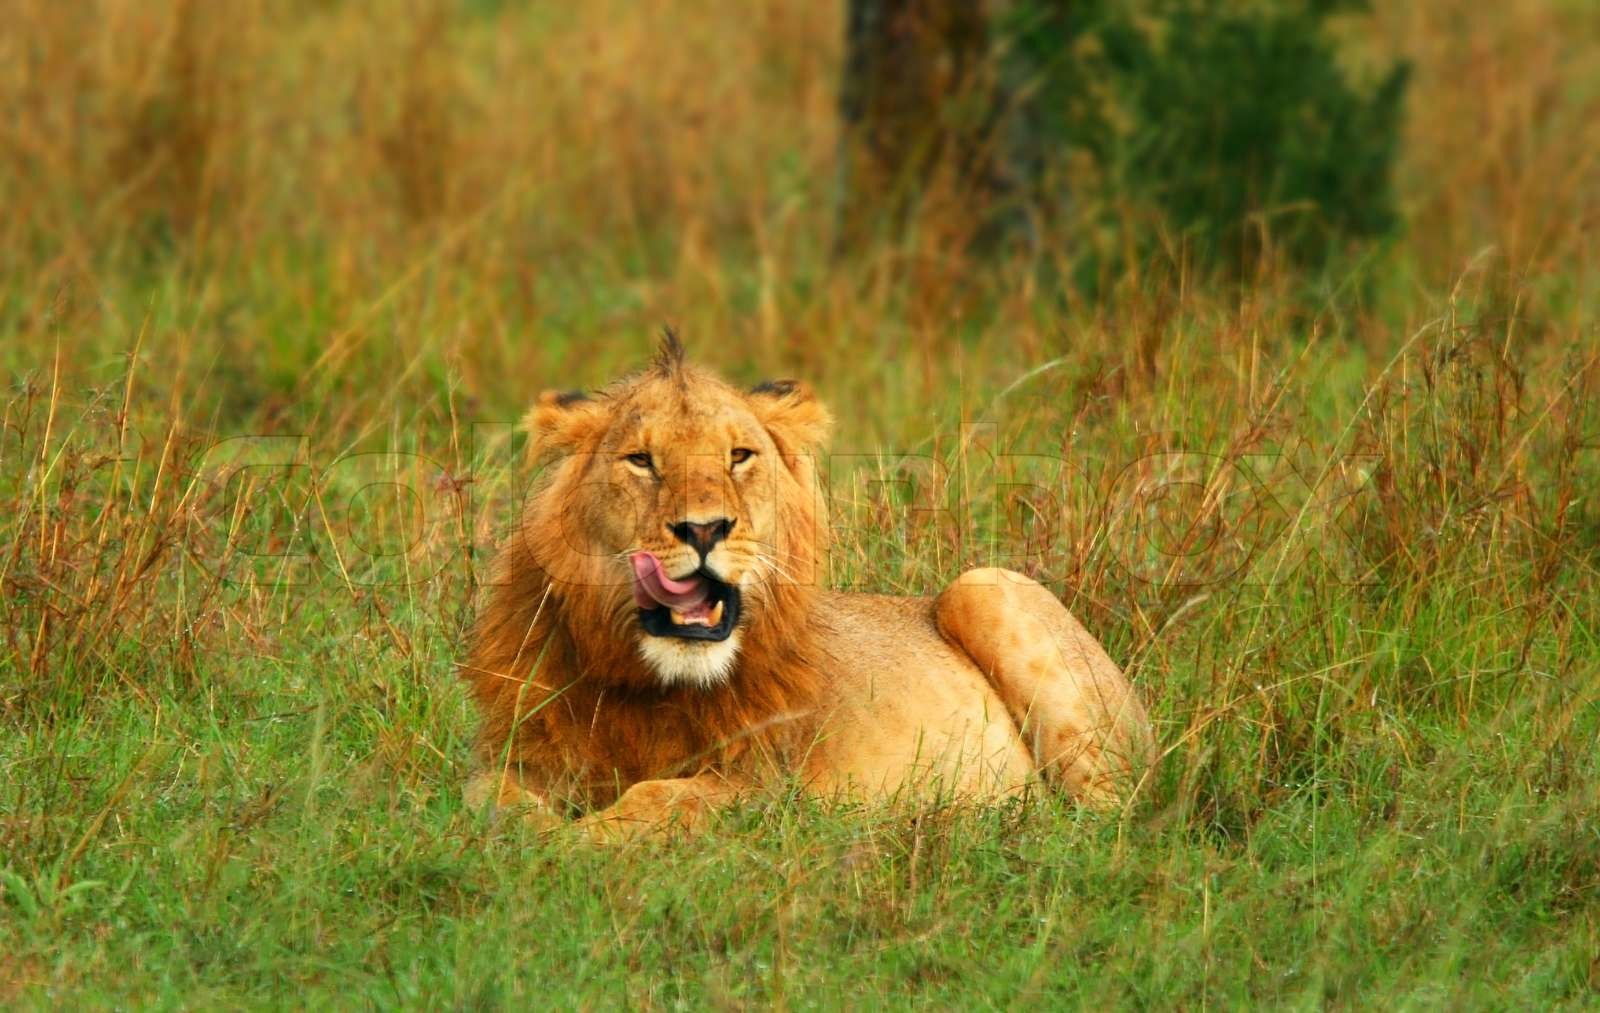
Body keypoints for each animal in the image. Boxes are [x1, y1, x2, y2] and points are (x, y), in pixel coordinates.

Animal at [460, 332, 1155, 837]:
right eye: (641, 460)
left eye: (739, 456)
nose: (704, 529)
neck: (650, 679)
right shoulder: (521, 754)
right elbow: (488, 797)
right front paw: (528, 838)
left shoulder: (766, 784)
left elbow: (660, 799)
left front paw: (577, 841)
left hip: (984, 585)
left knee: (1105, 819)